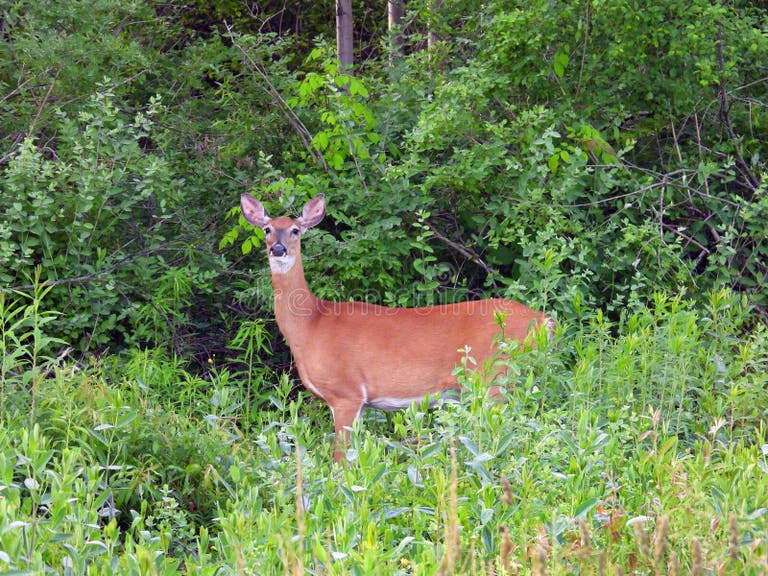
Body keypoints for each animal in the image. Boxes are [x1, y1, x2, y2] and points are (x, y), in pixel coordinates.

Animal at [240, 193, 554, 463]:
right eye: (267, 229)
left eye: (295, 230)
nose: (277, 249)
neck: (311, 325)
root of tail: (544, 321)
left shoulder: (346, 392)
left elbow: (340, 462)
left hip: (495, 377)